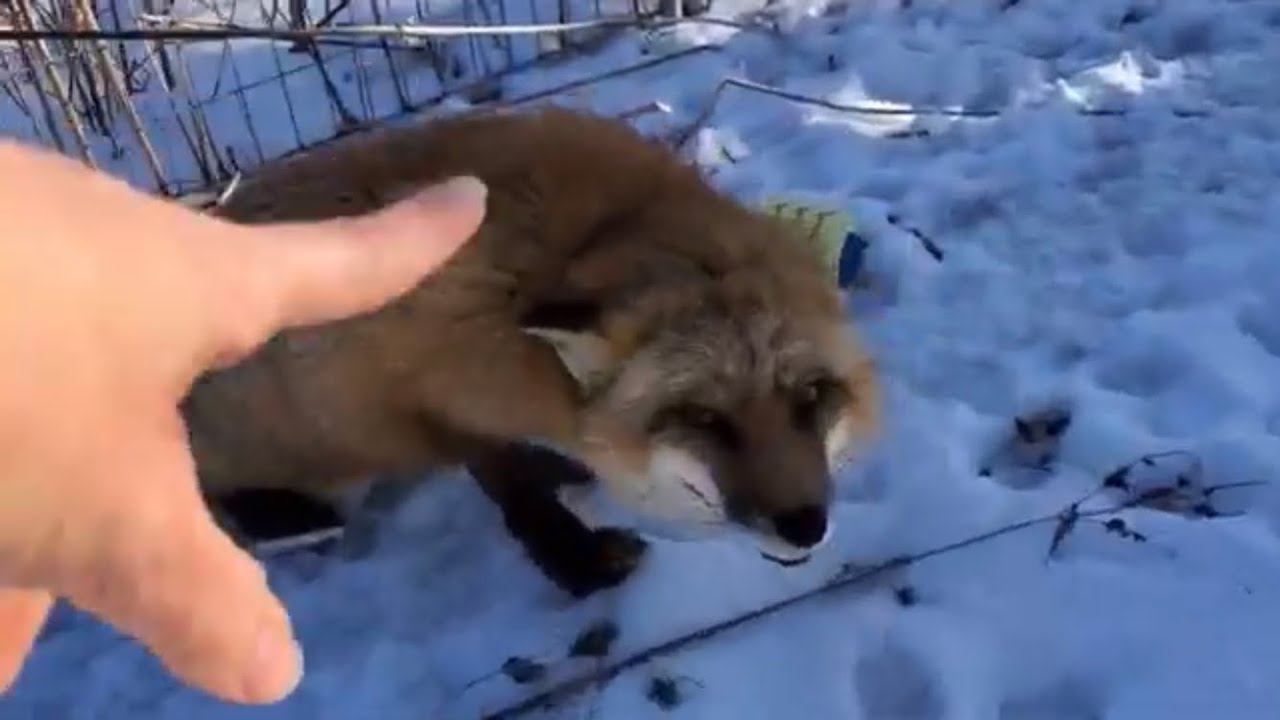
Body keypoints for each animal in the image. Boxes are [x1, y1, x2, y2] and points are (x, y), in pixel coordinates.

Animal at [182, 106, 880, 598]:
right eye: (703, 419)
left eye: (811, 396)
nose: (804, 525)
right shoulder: (422, 392)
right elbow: (515, 495)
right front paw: (581, 569)